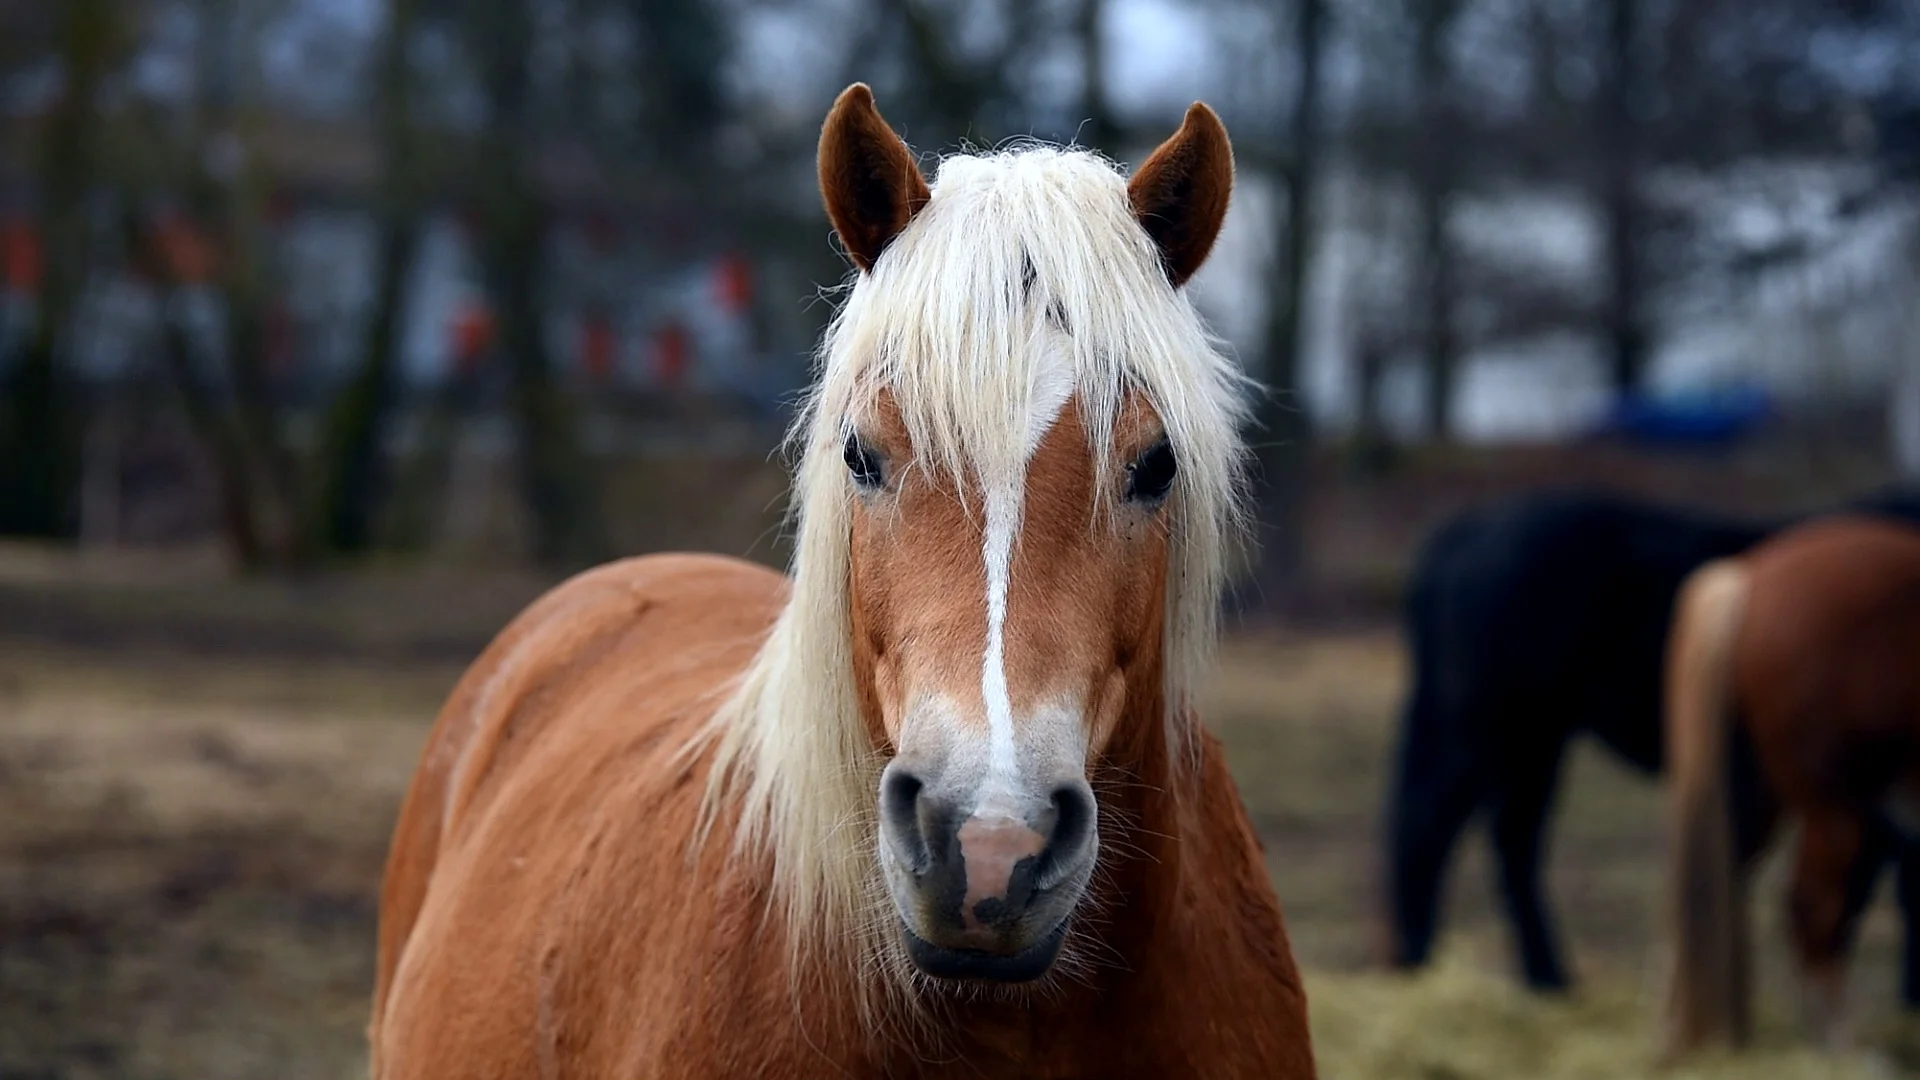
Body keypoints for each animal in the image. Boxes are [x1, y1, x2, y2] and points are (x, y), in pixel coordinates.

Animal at [1382, 485, 1920, 993]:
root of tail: (1463, 532)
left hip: (1526, 739)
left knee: (1495, 840)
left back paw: (1529, 977)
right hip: (1494, 730)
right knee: (1436, 832)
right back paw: (1444, 970)